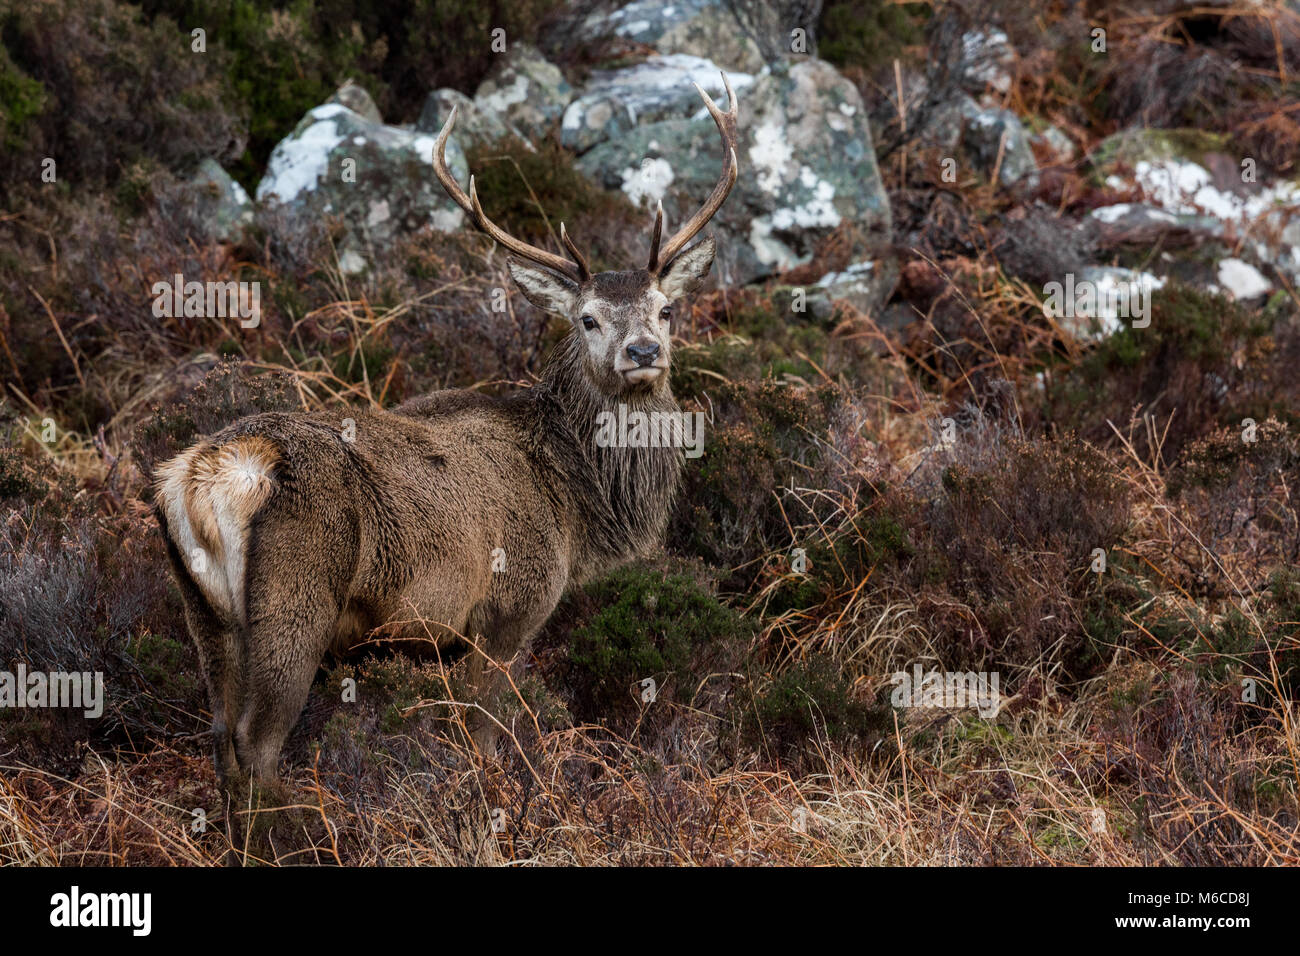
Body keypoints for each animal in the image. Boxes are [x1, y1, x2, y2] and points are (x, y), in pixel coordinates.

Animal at [153, 77, 740, 784]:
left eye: (667, 308)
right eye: (589, 318)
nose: (644, 351)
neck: (581, 503)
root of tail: (200, 477)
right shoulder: (510, 609)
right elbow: (483, 731)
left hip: (205, 613)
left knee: (219, 736)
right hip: (295, 599)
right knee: (255, 742)